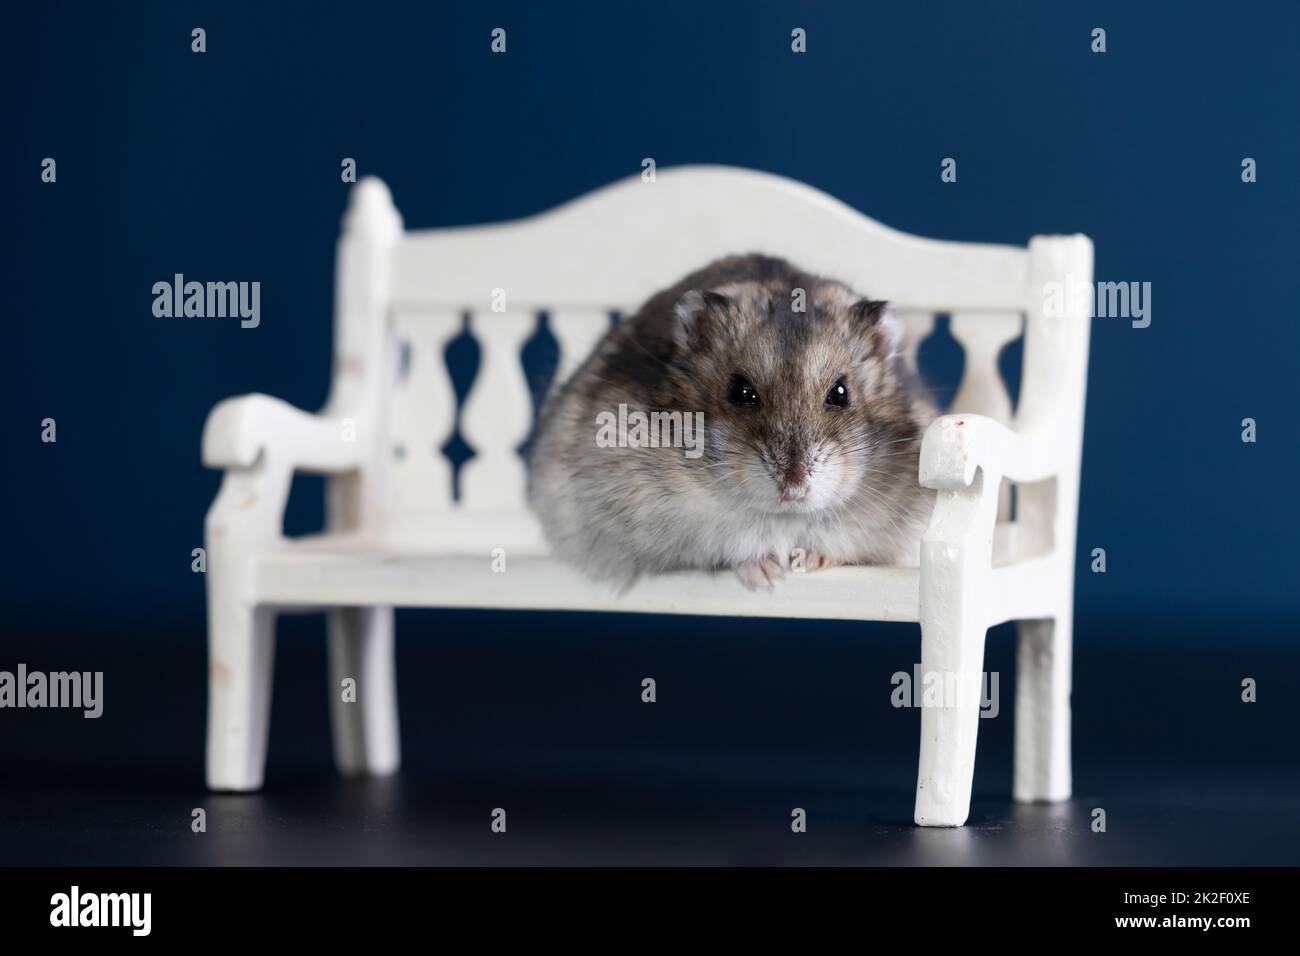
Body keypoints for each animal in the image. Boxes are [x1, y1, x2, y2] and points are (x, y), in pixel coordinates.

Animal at [527, 254, 936, 589]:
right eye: (741, 392)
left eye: (841, 392)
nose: (793, 488)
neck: (783, 516)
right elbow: (736, 541)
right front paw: (767, 573)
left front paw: (811, 561)